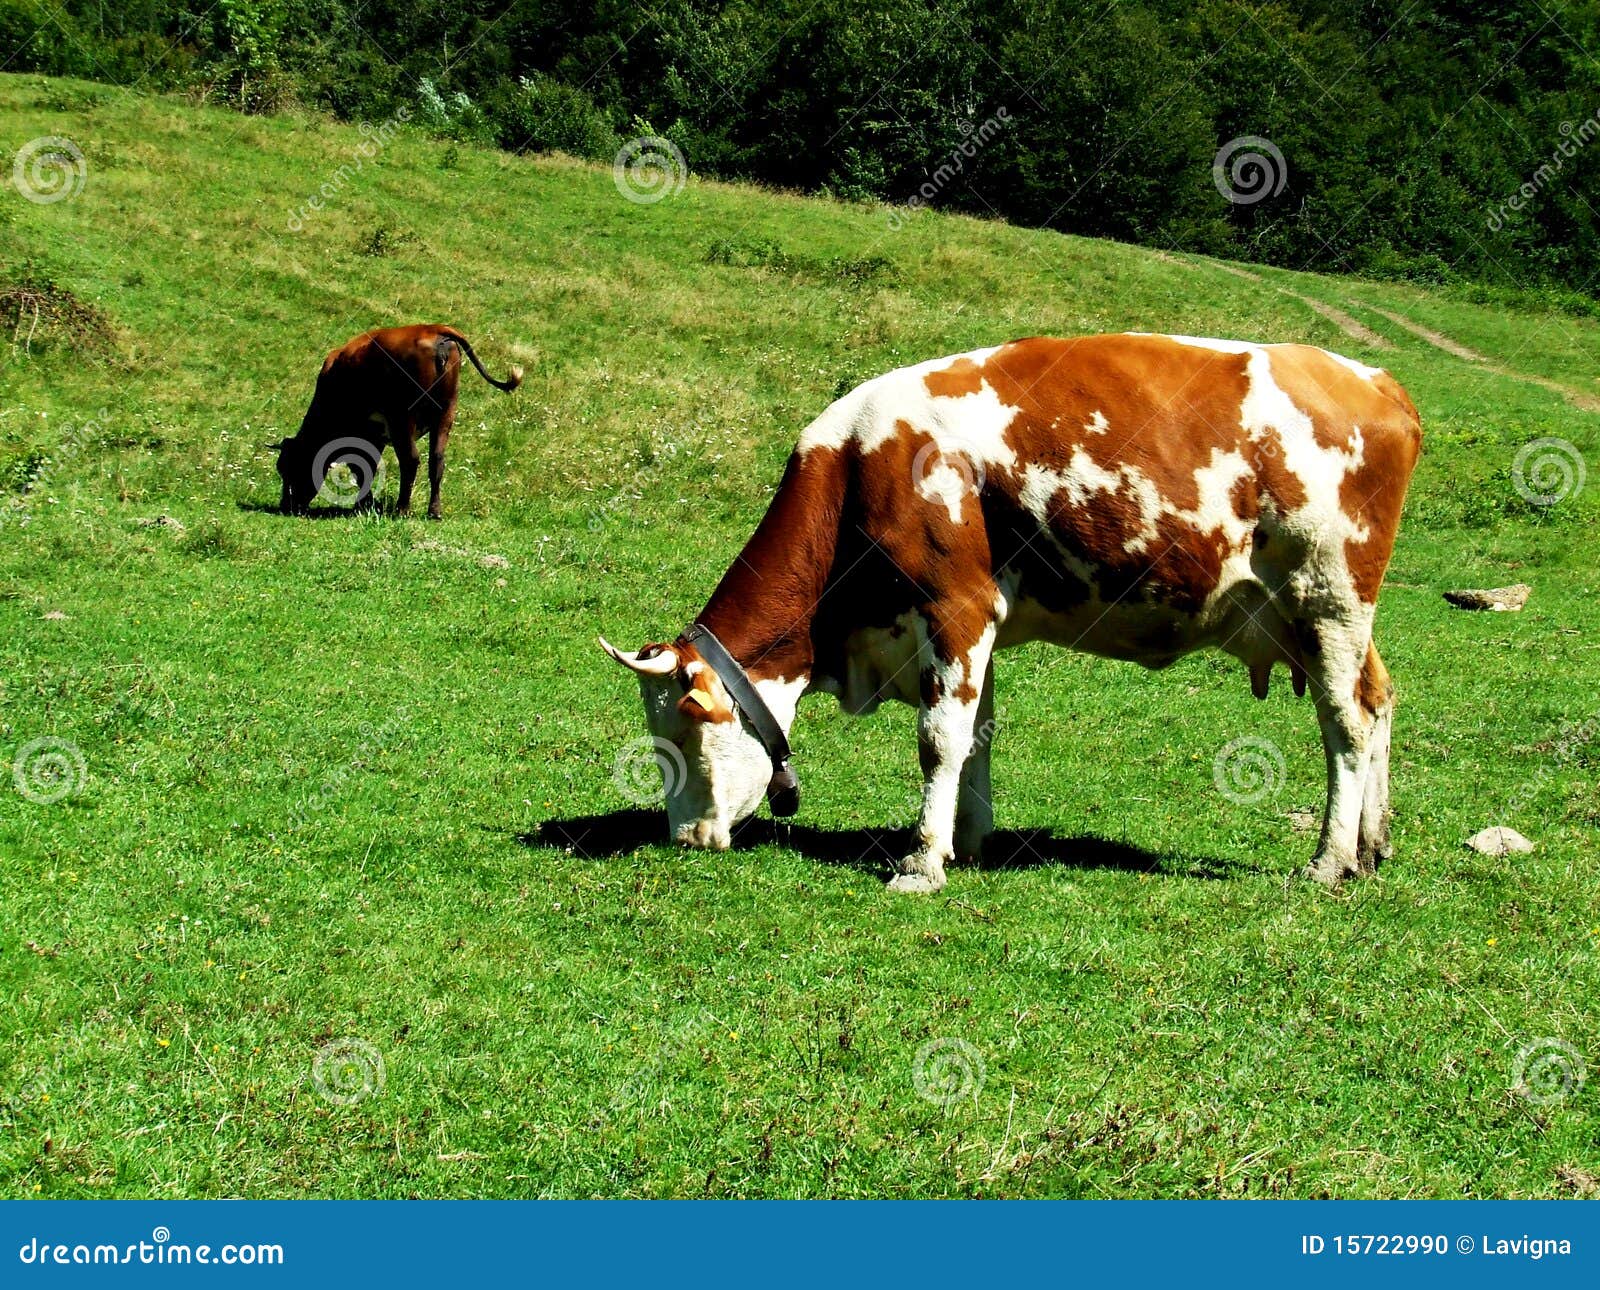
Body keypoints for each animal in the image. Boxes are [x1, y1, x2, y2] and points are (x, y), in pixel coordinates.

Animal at [273, 324, 522, 519]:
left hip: (403, 417)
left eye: (289, 468)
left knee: (410, 460)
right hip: (446, 413)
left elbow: (361, 467)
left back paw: (402, 509)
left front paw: (364, 504)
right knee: (437, 460)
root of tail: (433, 328)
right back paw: (434, 511)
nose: (287, 506)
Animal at [601, 333, 1421, 893]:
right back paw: (1373, 845)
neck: (859, 465)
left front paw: (921, 862)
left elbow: (939, 740)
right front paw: (970, 840)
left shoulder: (954, 607)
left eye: (684, 729)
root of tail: (1375, 379)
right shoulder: (974, 624)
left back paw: (1329, 859)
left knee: (1345, 723)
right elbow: (977, 737)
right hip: (1320, 615)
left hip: (1329, 597)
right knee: (1379, 700)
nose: (685, 837)